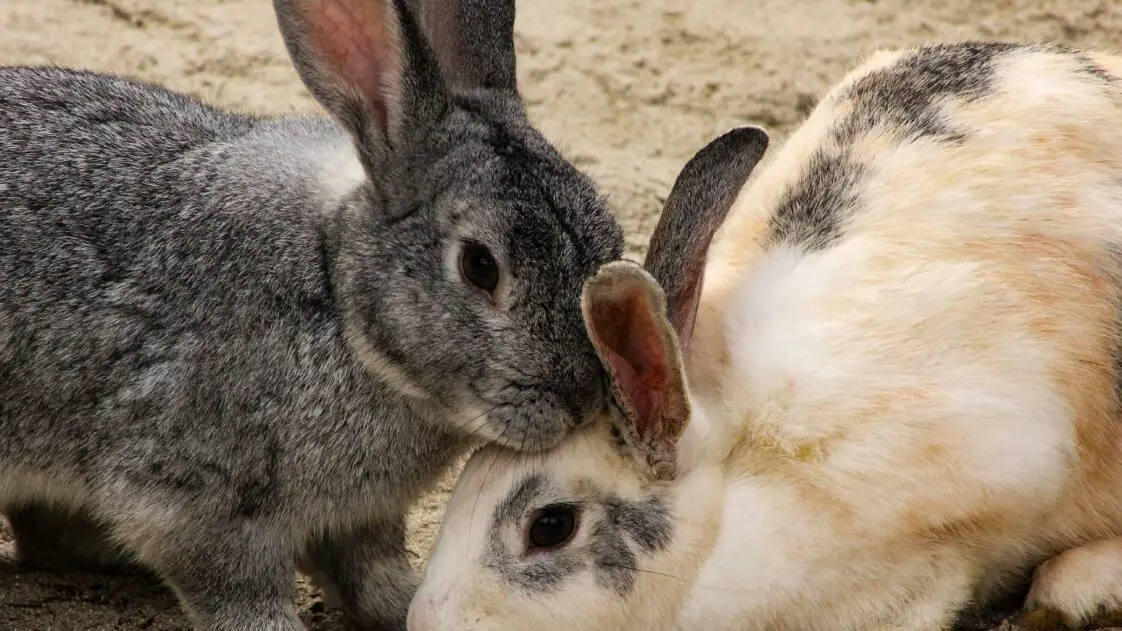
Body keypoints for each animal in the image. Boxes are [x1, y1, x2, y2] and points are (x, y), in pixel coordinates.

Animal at [0, 0, 626, 627]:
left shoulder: (360, 519)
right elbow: (235, 588)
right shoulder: (190, 498)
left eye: (610, 238)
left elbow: (370, 573)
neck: (337, 298)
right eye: (479, 266)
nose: (582, 400)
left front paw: (402, 606)